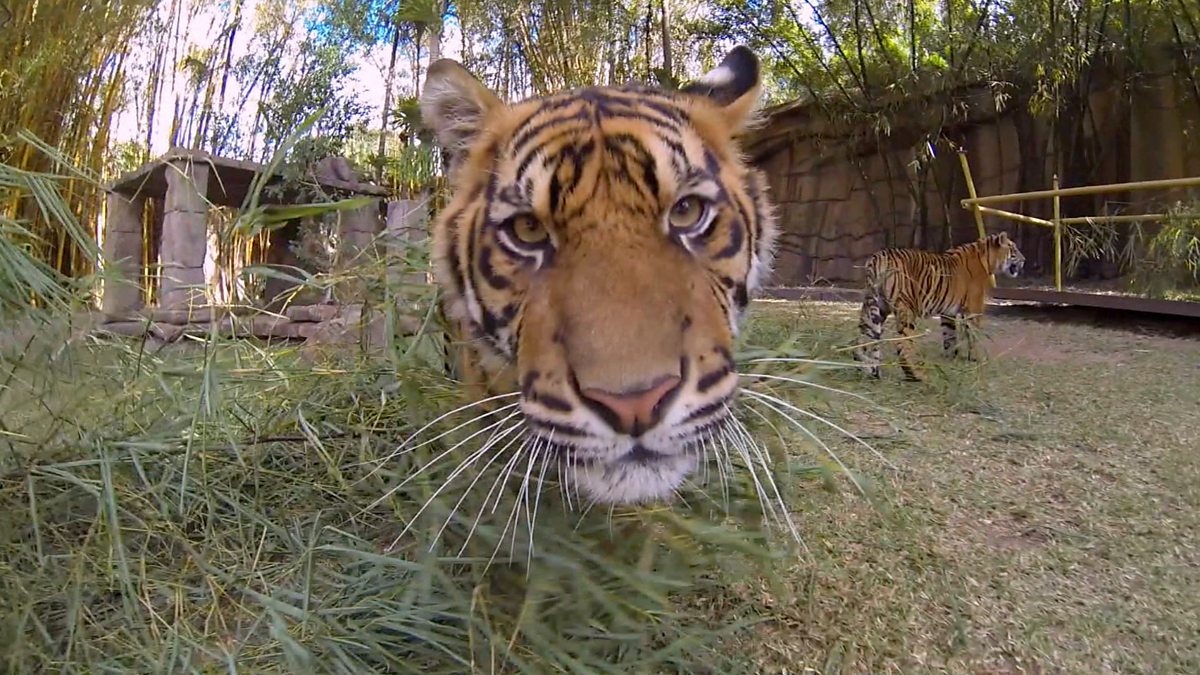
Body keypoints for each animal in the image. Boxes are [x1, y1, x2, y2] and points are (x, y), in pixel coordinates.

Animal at [852, 231, 1025, 381]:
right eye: (1014, 249)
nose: (1024, 260)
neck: (987, 259)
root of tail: (879, 256)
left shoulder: (948, 312)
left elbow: (950, 335)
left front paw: (951, 357)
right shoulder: (973, 308)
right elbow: (974, 336)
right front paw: (976, 359)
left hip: (876, 307)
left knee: (863, 339)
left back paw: (870, 371)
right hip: (906, 307)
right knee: (902, 344)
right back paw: (917, 376)